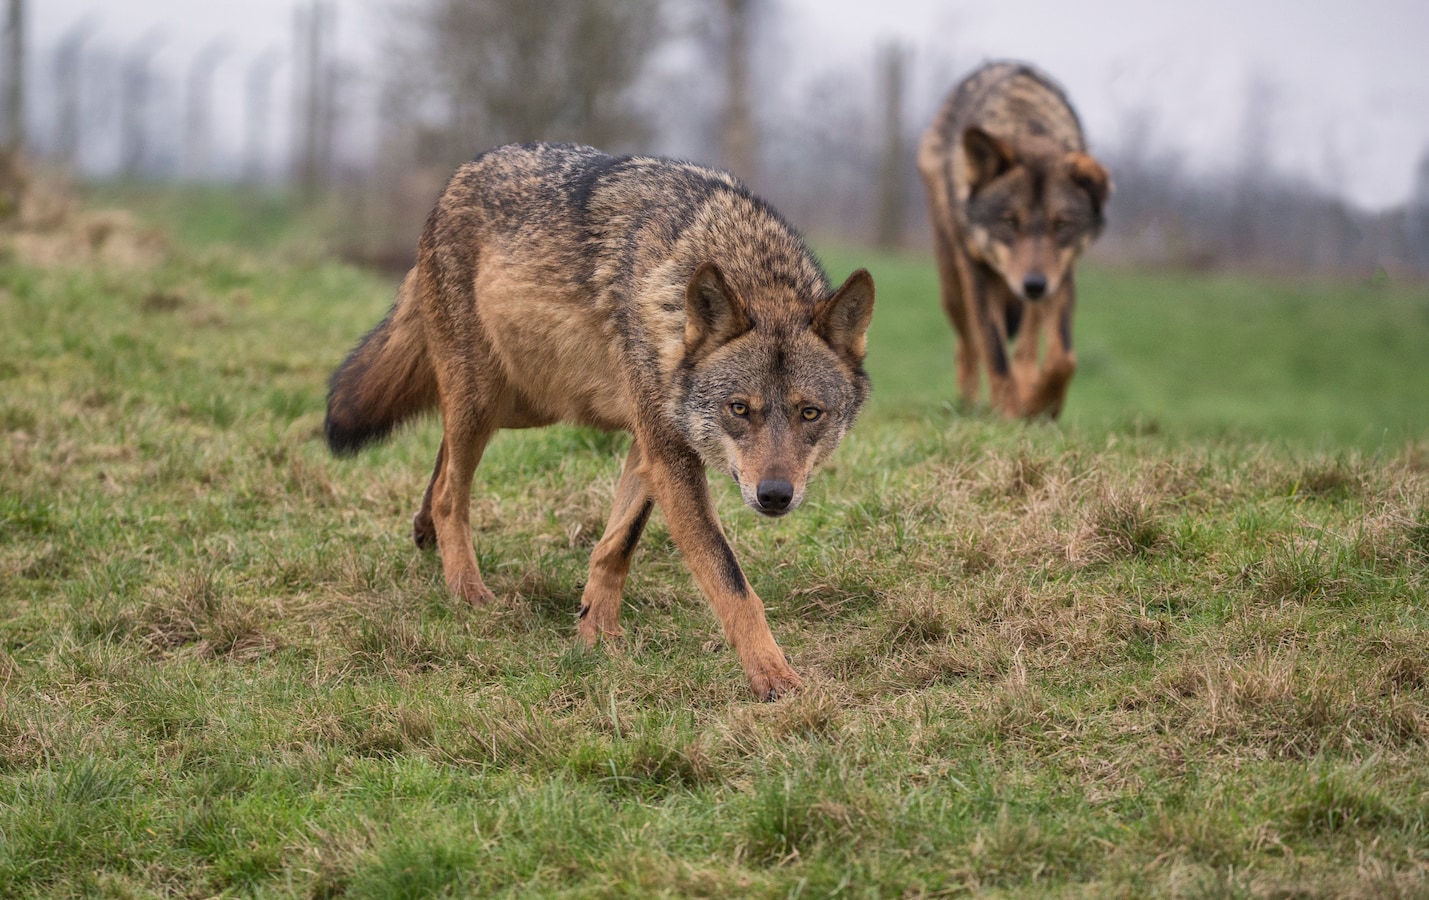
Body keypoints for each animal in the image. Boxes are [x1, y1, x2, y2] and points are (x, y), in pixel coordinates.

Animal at [324, 142, 875, 700]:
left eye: (810, 413)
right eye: (739, 409)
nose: (775, 496)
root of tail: (460, 174)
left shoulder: (651, 445)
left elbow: (617, 544)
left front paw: (596, 634)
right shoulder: (668, 454)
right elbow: (730, 580)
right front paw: (773, 675)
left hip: (523, 403)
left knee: (443, 456)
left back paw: (426, 535)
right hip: (486, 398)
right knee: (448, 492)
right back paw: (467, 591)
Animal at [917, 61, 1111, 419]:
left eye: (1061, 225)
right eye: (1009, 222)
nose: (1034, 284)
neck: (1025, 122)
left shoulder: (1062, 276)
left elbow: (1062, 357)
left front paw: (1043, 407)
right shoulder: (978, 274)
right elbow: (994, 352)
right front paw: (1006, 415)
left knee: (1026, 346)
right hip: (952, 286)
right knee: (967, 345)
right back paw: (969, 403)